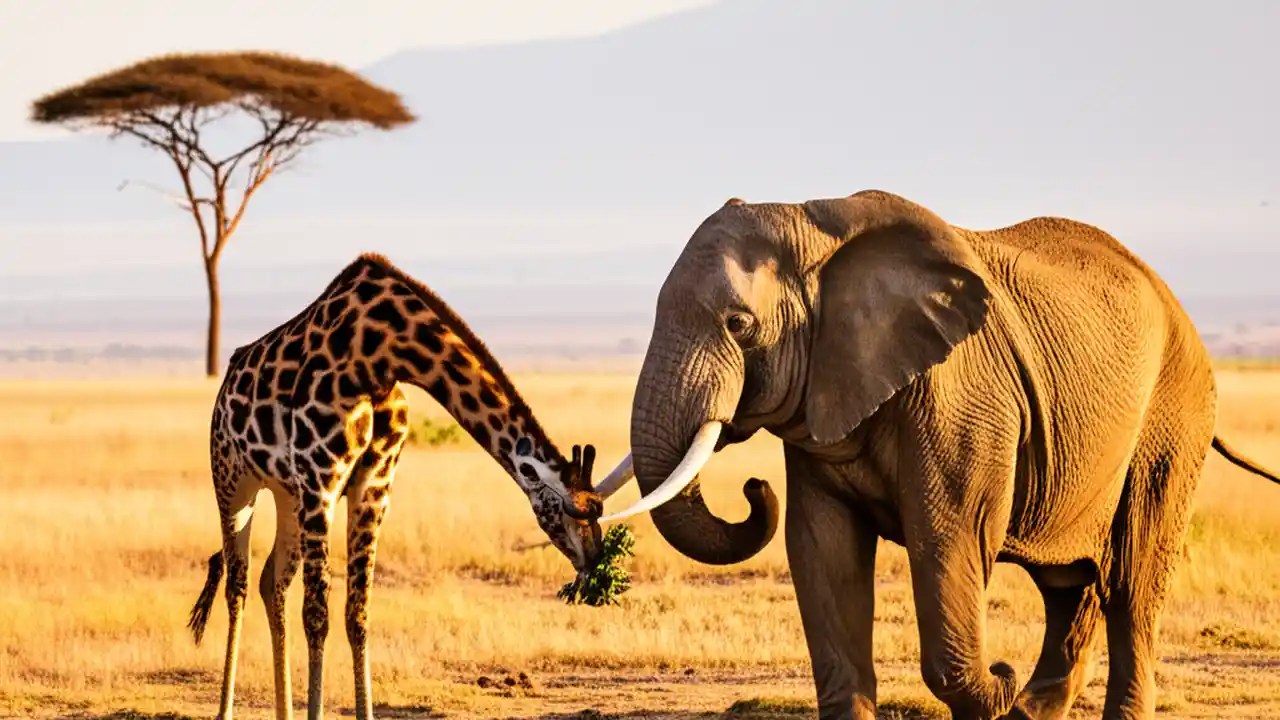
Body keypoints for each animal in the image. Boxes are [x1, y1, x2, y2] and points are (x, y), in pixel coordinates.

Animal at [186, 252, 609, 720]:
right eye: (570, 511)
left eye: (598, 509)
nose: (594, 558)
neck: (382, 354)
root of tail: (225, 384)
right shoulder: (321, 480)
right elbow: (317, 615)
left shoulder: (373, 484)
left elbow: (357, 614)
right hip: (233, 480)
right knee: (237, 584)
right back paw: (225, 710)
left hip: (287, 495)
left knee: (271, 582)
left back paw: (284, 713)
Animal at [589, 190, 1280, 720]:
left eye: (739, 324)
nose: (754, 488)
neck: (814, 223)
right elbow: (823, 549)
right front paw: (1001, 693)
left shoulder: (961, 397)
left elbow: (950, 536)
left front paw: (995, 685)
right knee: (1068, 583)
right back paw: (1030, 707)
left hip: (1173, 413)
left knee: (1133, 583)